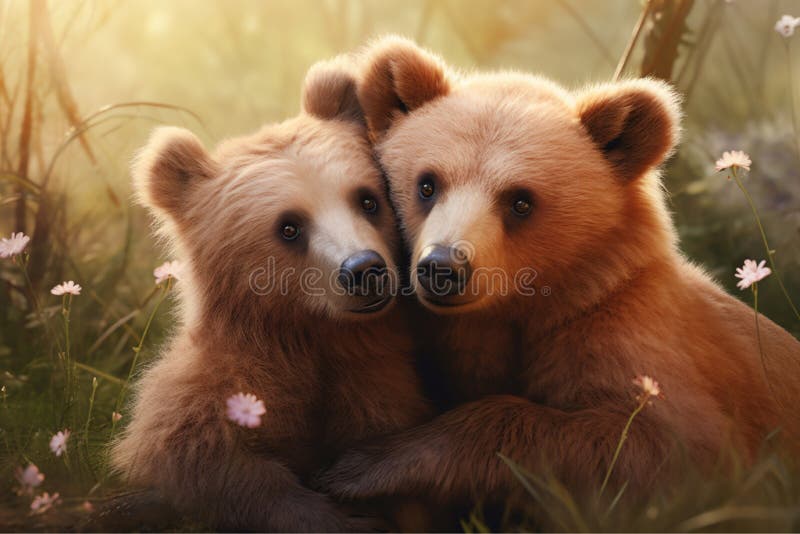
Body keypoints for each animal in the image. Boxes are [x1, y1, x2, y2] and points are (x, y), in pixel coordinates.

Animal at [110, 57, 430, 532]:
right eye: (289, 227)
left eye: (368, 200)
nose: (364, 269)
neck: (311, 331)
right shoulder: (223, 388)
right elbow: (204, 459)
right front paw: (338, 516)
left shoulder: (373, 379)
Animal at [319, 36, 800, 510]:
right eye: (427, 184)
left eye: (521, 201)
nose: (442, 266)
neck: (522, 309)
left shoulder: (624, 332)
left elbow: (676, 446)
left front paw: (368, 464)